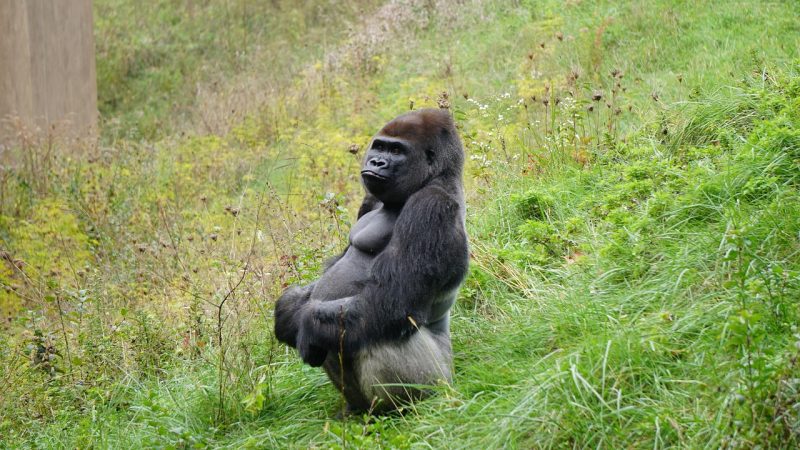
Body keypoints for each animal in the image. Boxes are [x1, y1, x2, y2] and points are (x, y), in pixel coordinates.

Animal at [274, 108, 469, 413]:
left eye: (397, 150)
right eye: (379, 147)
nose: (377, 161)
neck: (437, 177)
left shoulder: (430, 207)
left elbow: (391, 300)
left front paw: (302, 323)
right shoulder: (369, 200)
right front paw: (288, 308)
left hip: (439, 378)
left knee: (373, 329)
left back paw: (402, 409)